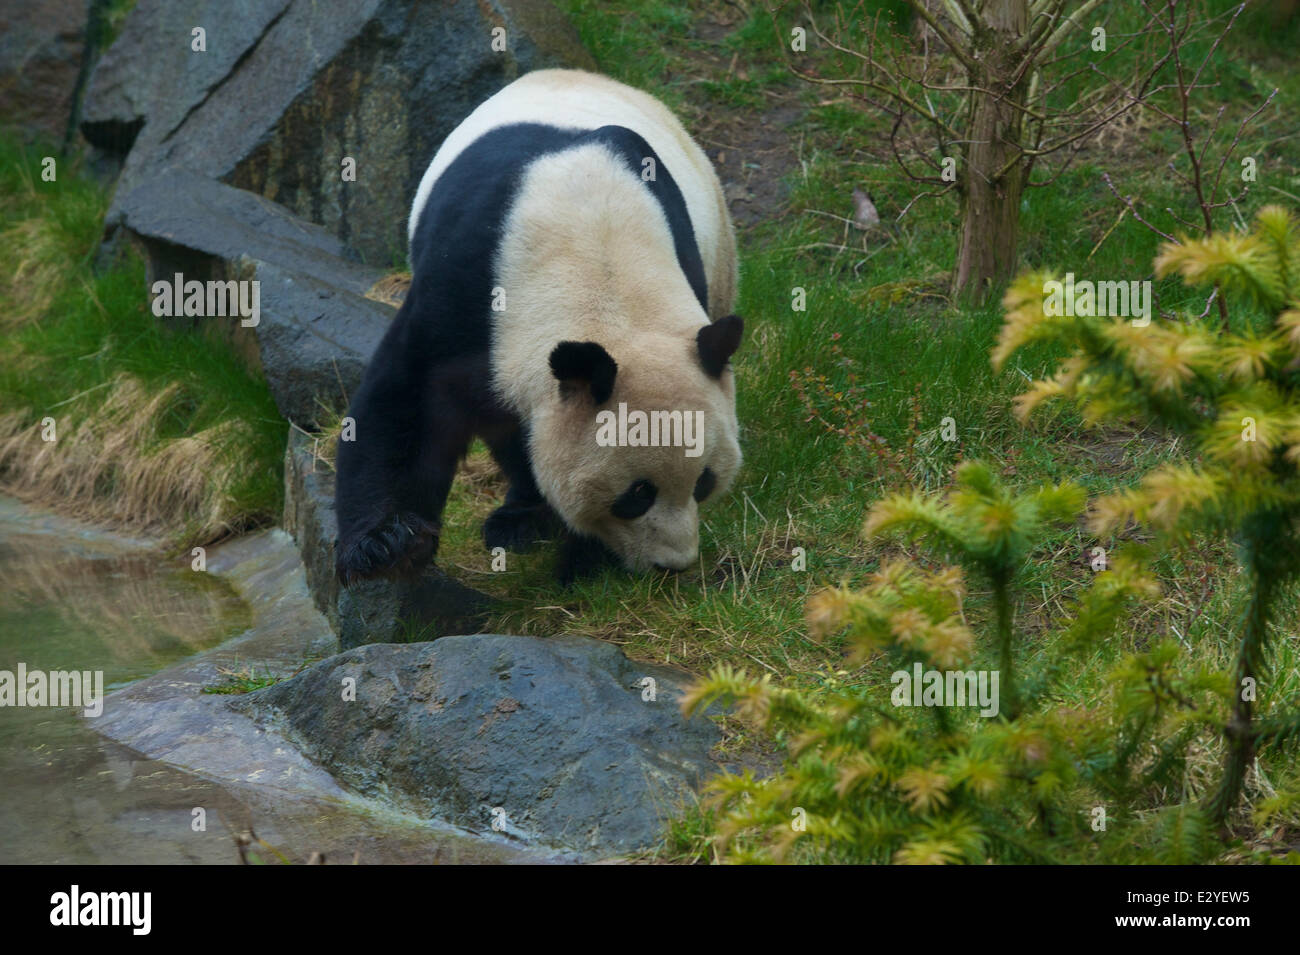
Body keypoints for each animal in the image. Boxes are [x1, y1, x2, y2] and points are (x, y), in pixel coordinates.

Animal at [334, 69, 743, 586]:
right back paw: (519, 520)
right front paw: (387, 543)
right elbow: (409, 398)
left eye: (704, 482)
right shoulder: (465, 280)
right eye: (636, 495)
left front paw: (585, 561)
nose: (673, 564)